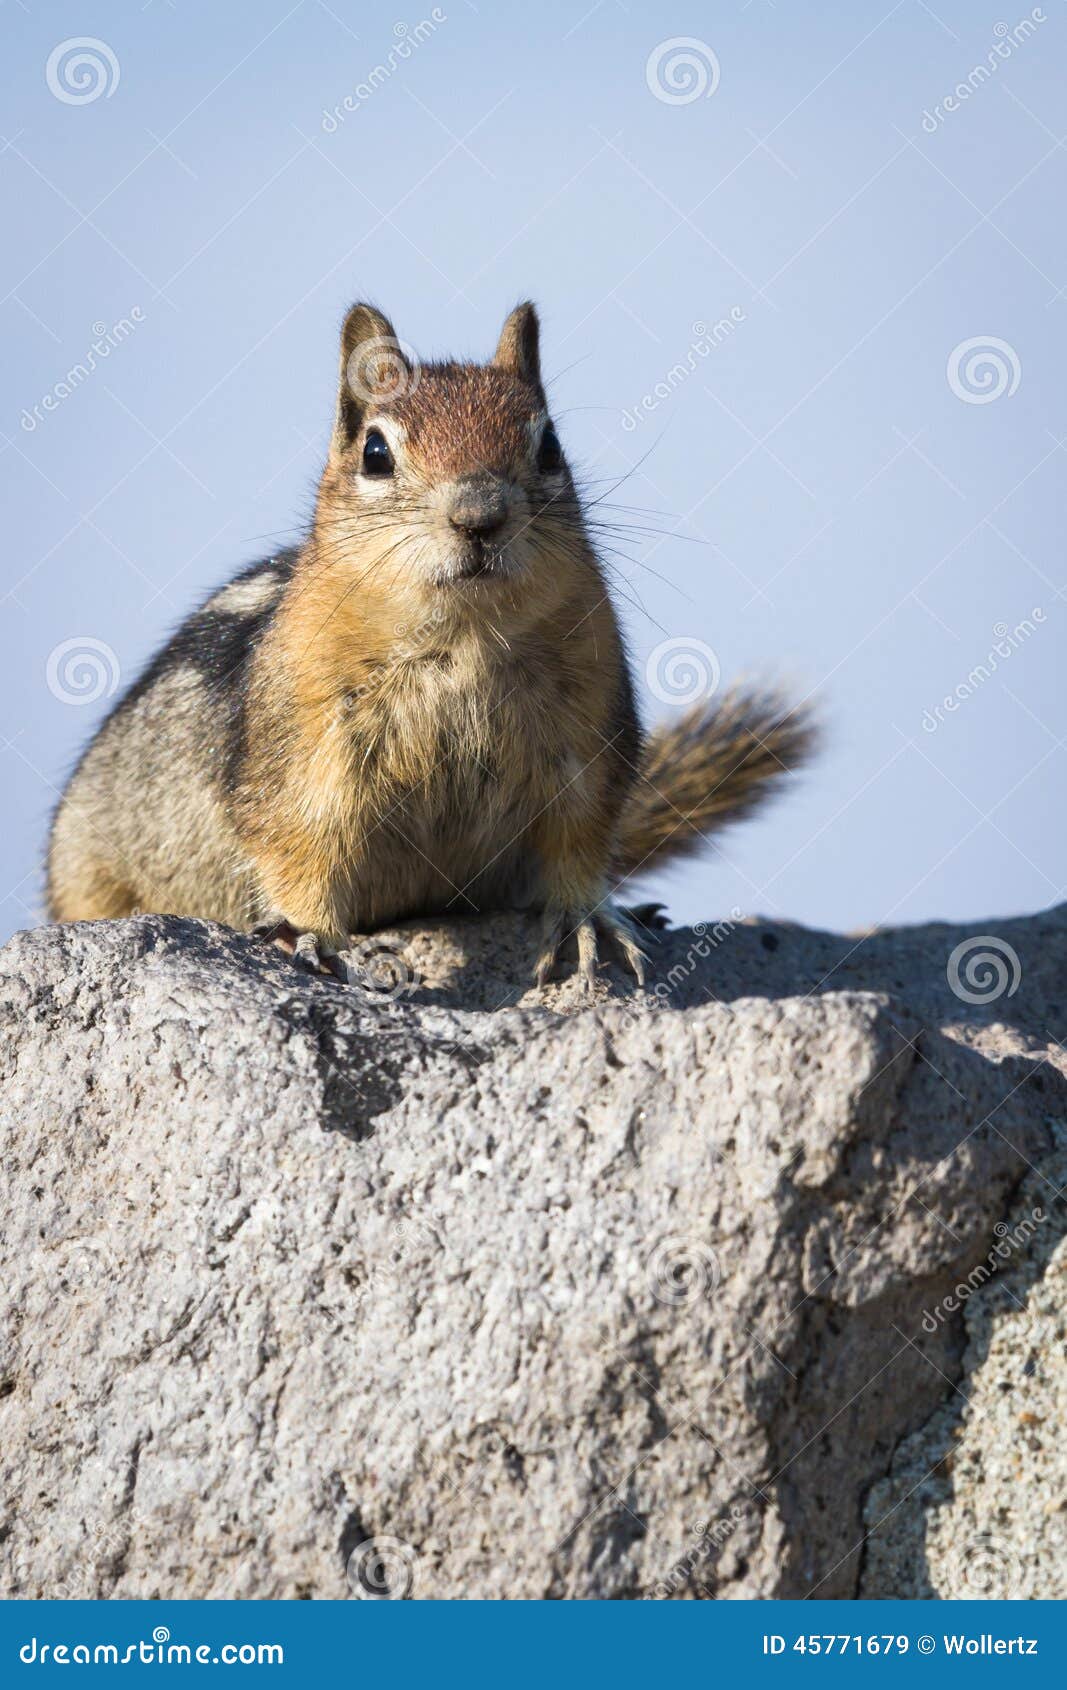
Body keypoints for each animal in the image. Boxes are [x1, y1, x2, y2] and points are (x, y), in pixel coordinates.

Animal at [46, 301, 814, 992]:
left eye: (549, 445)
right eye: (375, 452)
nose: (479, 516)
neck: (463, 638)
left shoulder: (586, 731)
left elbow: (580, 835)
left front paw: (587, 917)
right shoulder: (307, 744)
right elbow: (301, 840)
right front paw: (309, 933)